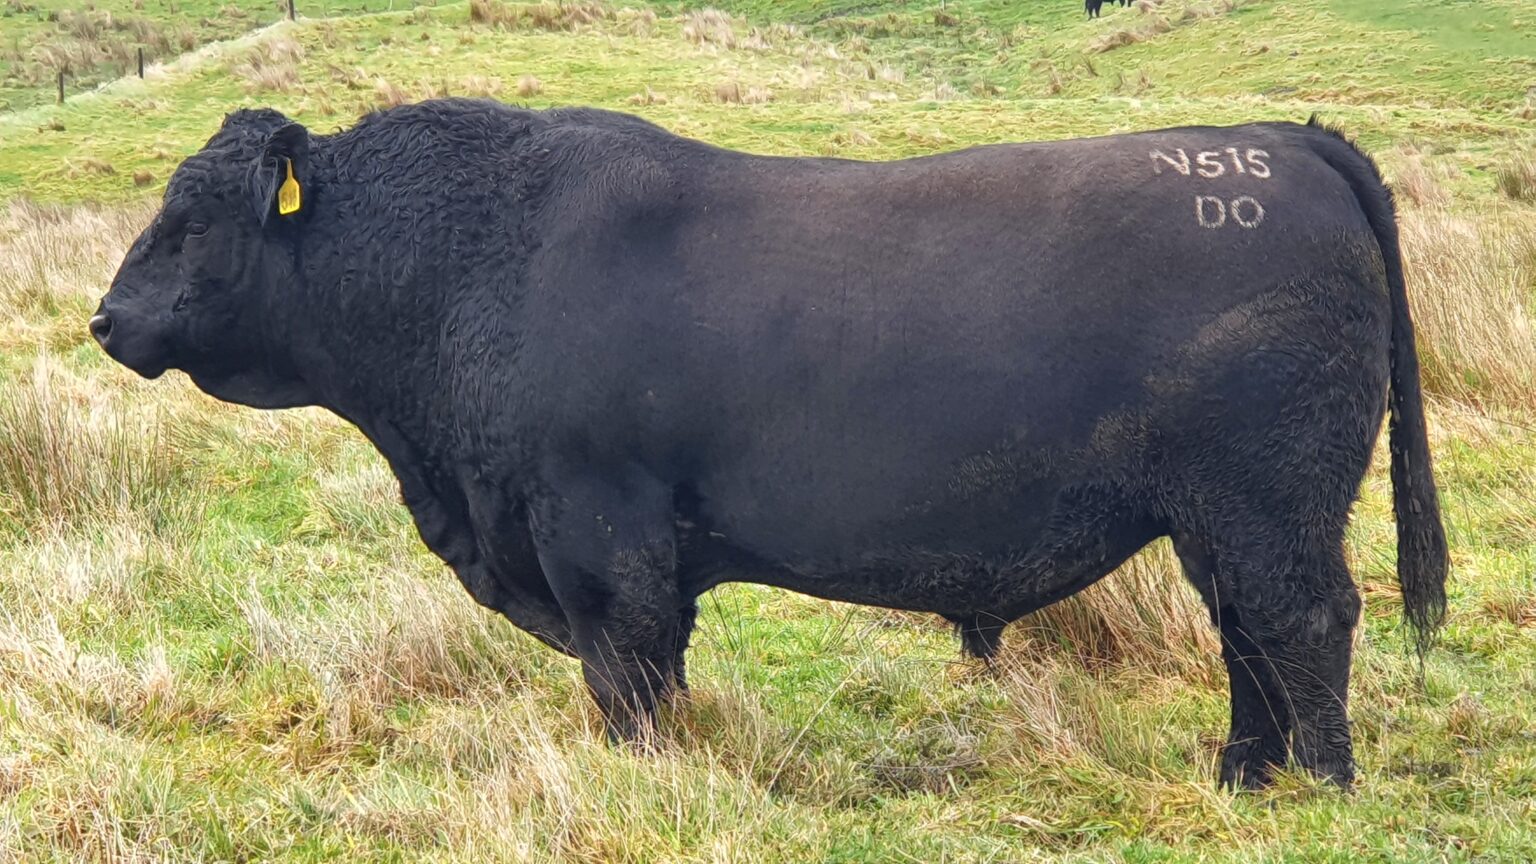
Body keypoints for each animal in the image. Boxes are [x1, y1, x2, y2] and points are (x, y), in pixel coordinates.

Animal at [92, 100, 1448, 791]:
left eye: (193, 215)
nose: (106, 319)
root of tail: (1280, 142)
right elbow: (656, 669)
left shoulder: (599, 530)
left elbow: (627, 675)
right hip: (1217, 519)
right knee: (1248, 636)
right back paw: (1242, 776)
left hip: (1270, 503)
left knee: (1306, 621)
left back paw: (1318, 785)